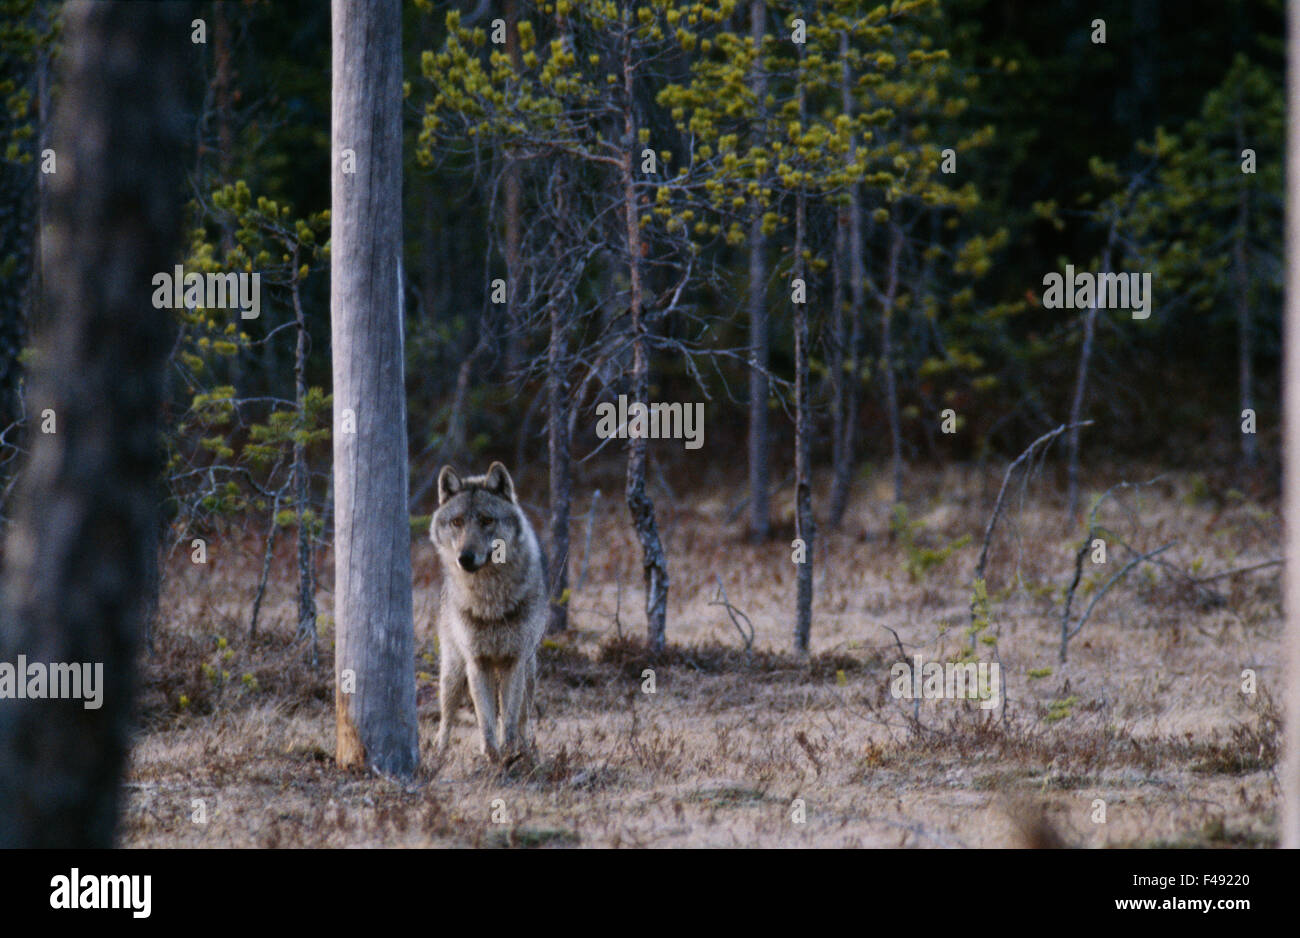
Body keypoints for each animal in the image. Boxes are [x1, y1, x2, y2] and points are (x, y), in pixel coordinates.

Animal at [430, 462, 547, 762]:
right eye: (457, 522)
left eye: (486, 520)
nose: (465, 557)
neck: (489, 599)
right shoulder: (477, 662)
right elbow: (485, 718)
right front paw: (492, 755)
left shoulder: (515, 661)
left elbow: (510, 717)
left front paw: (510, 754)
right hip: (453, 671)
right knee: (447, 718)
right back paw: (439, 752)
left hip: (530, 670)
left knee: (523, 716)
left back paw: (526, 749)